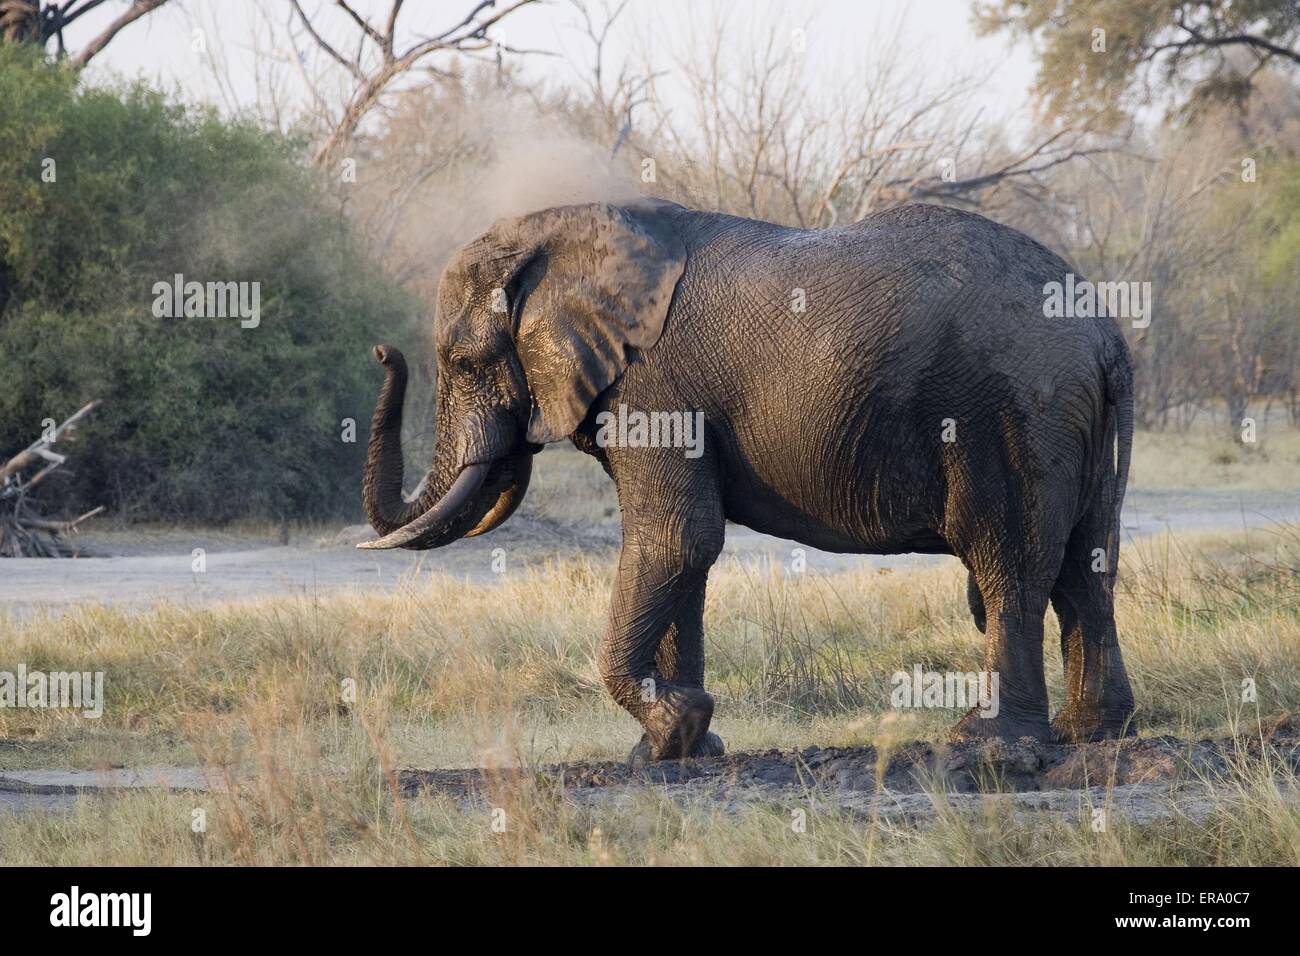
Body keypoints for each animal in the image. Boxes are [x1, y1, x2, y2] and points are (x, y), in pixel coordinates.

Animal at [359, 198, 1137, 760]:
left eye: (460, 363)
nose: (380, 350)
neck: (564, 230)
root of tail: (1105, 334)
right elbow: (687, 555)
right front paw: (673, 752)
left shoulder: (654, 389)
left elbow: (677, 539)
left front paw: (677, 729)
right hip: (1077, 423)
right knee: (1086, 562)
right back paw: (1092, 733)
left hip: (1009, 413)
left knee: (1011, 564)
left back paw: (987, 749)